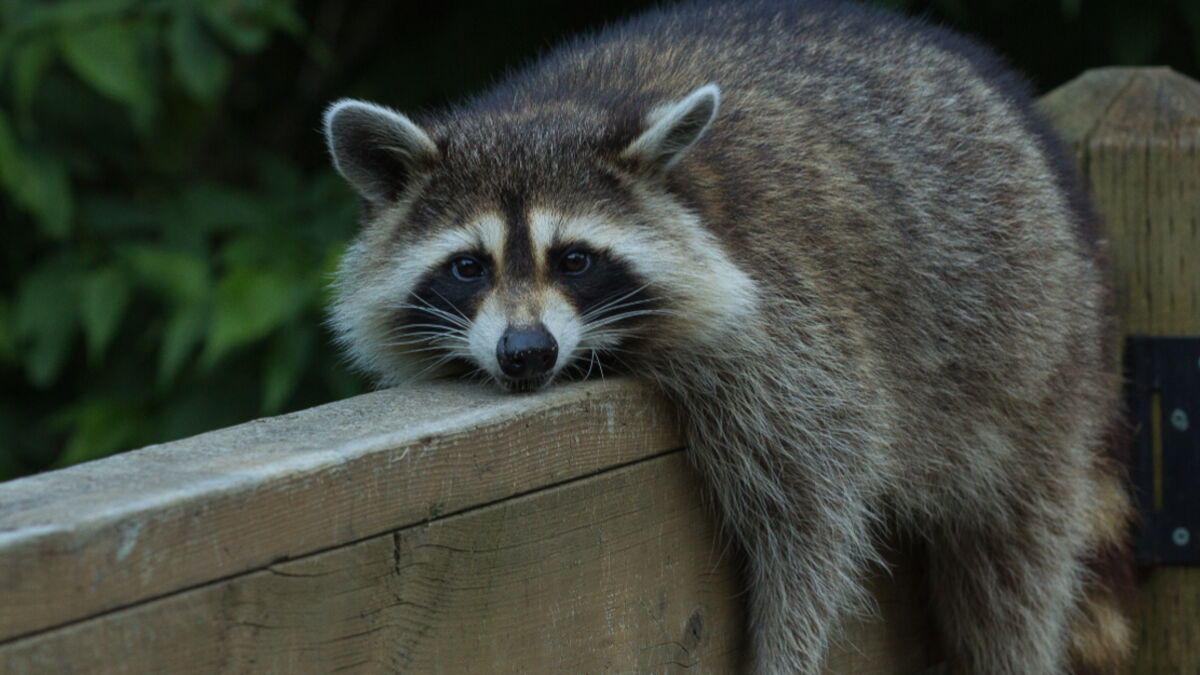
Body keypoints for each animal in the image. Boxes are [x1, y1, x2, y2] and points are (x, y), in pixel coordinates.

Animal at [322, 1, 1134, 672]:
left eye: (575, 260)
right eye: (469, 266)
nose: (527, 353)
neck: (548, 106)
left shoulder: (790, 333)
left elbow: (814, 514)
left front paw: (787, 650)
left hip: (1036, 361)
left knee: (1014, 575)